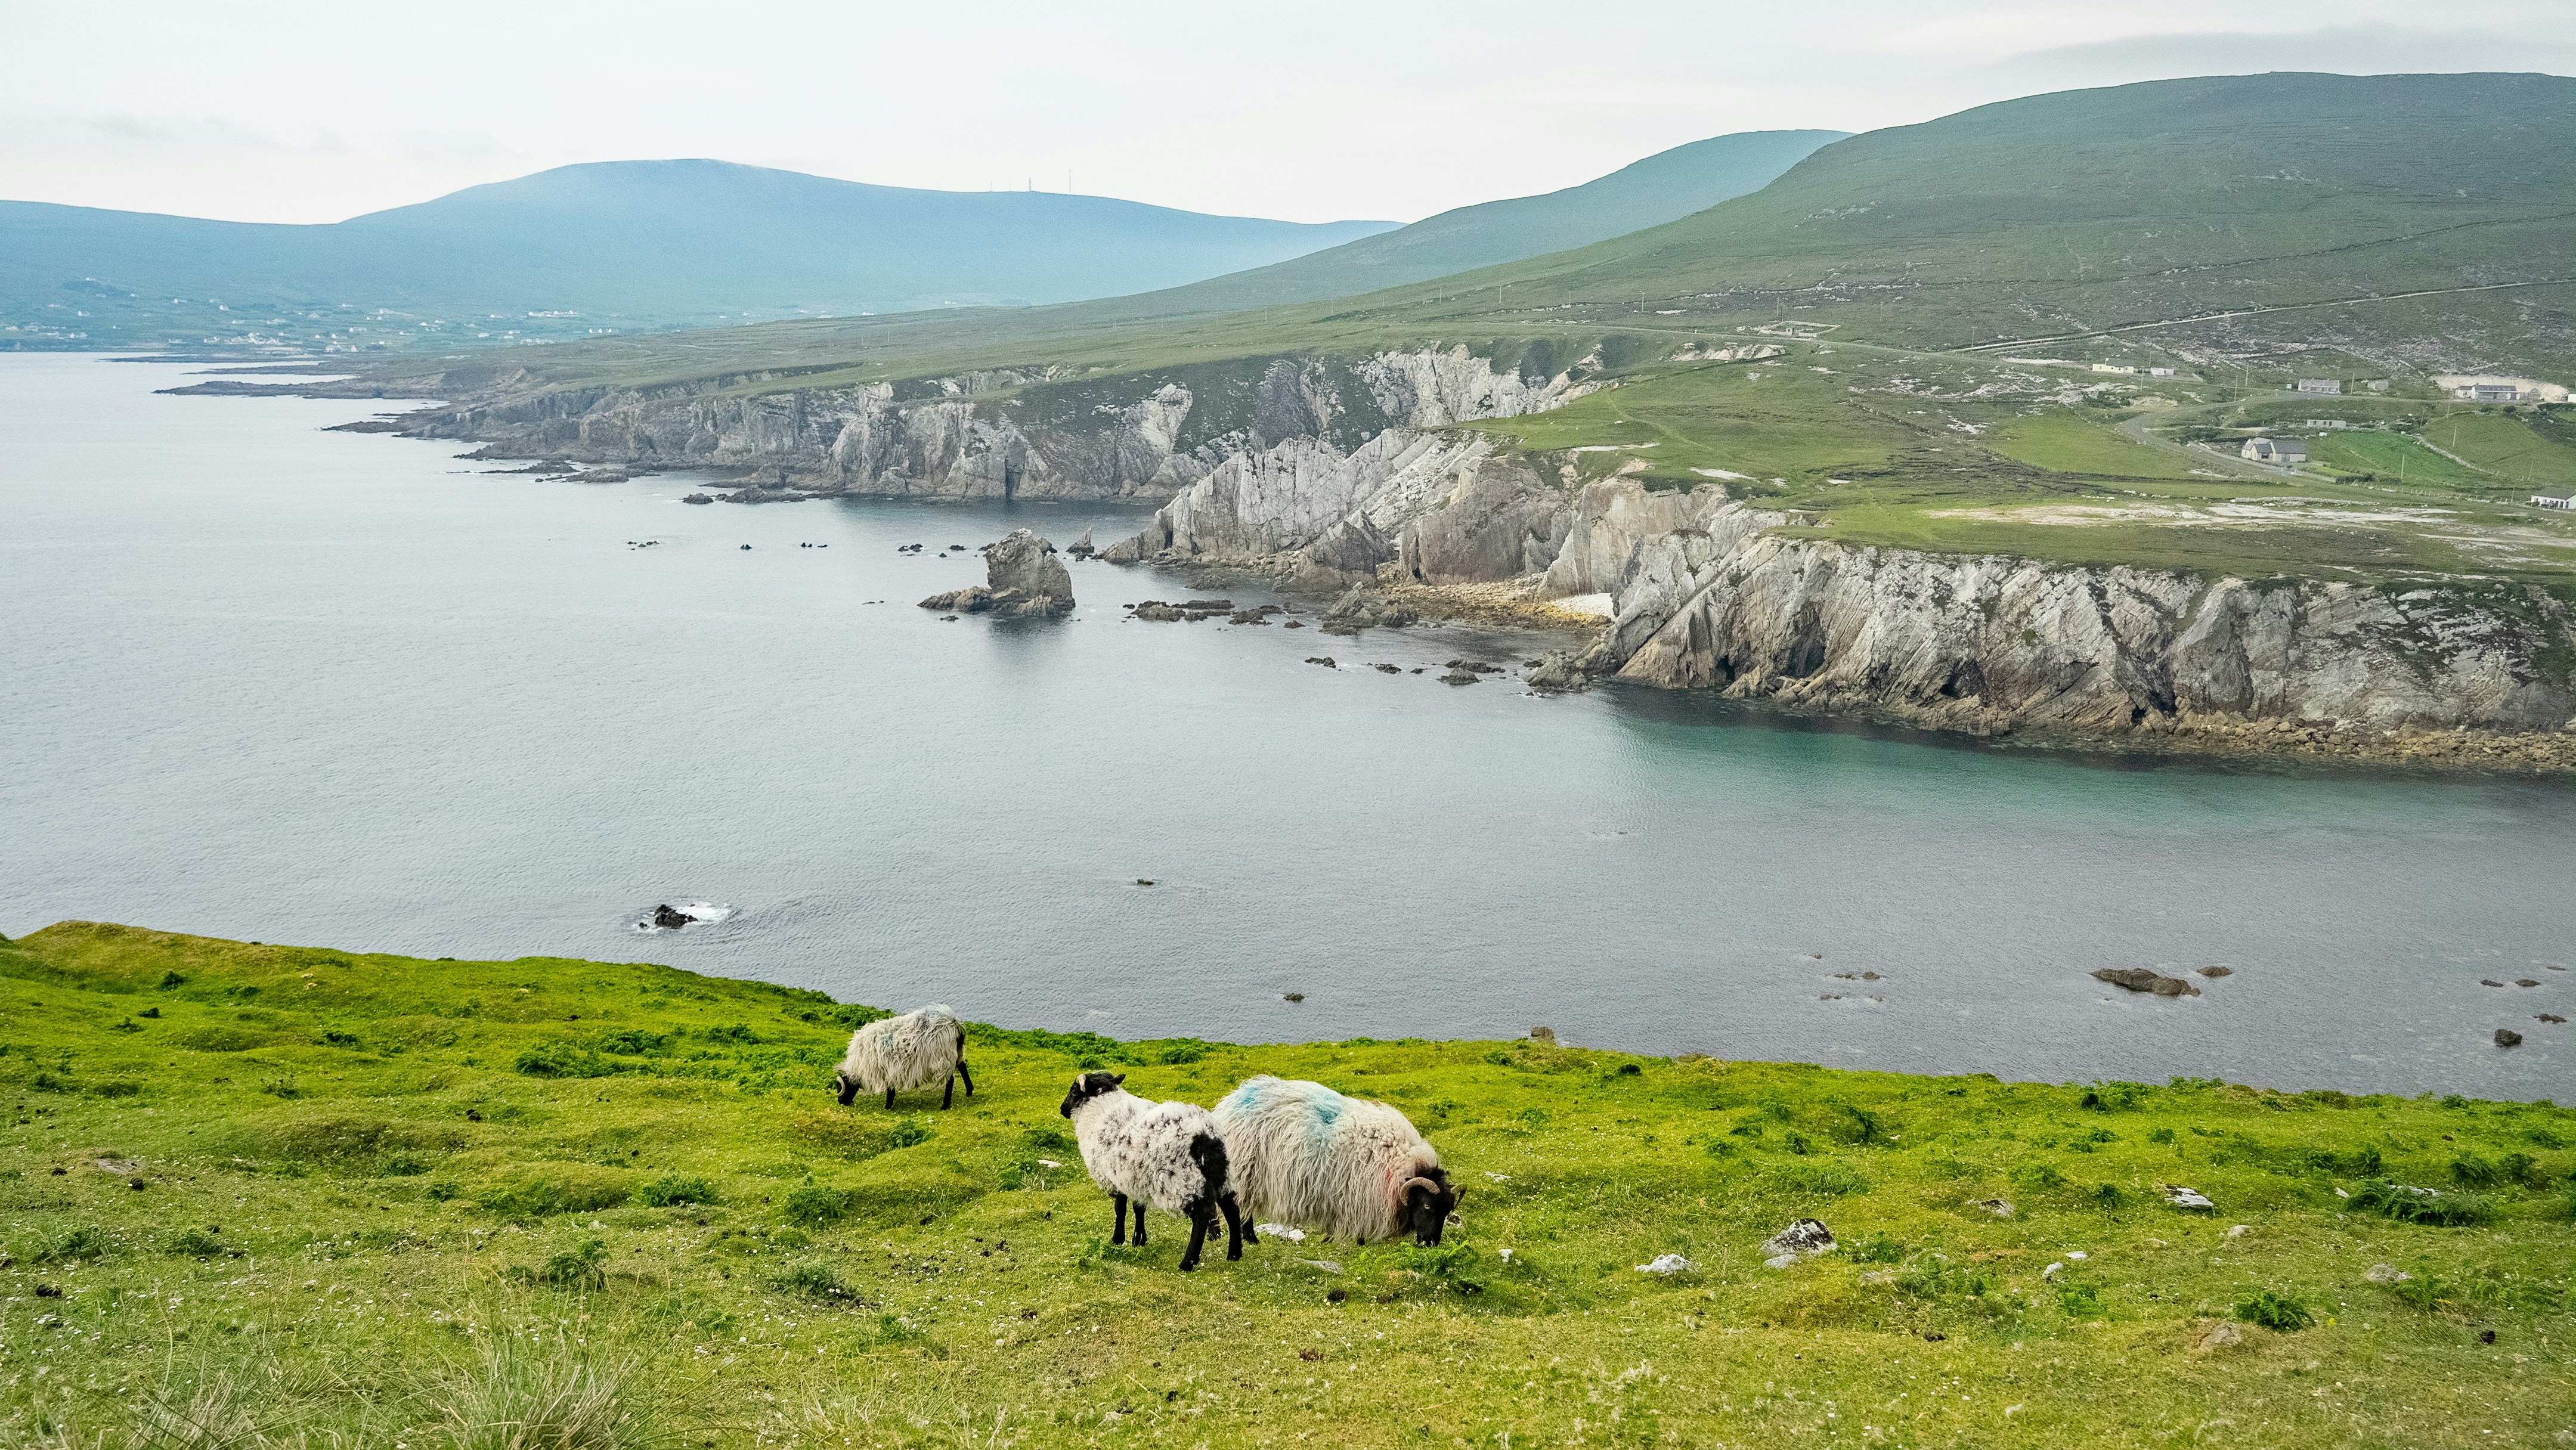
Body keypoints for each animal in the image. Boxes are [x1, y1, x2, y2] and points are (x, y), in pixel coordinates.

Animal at [832, 1005, 973, 1109]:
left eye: (840, 1087)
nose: (841, 1102)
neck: (858, 1065)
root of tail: (953, 1023)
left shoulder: (887, 1068)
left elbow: (890, 1087)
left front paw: (888, 1105)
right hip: (957, 1051)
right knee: (962, 1066)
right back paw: (969, 1091)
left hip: (942, 1057)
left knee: (950, 1080)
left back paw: (945, 1105)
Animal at [1058, 1071, 1244, 1271]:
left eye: (1074, 1092)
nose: (1062, 1109)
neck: (1101, 1108)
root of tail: (1203, 1135)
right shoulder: (1134, 1177)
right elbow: (1138, 1208)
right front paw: (1139, 1239)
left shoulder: (1115, 1179)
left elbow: (1120, 1210)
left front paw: (1118, 1239)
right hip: (1221, 1175)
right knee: (1232, 1209)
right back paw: (1234, 1254)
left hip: (1183, 1180)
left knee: (1202, 1216)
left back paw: (1188, 1262)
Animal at [1211, 1075, 1462, 1246]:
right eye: (1427, 1205)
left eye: (1447, 1211)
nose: (1431, 1243)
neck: (1399, 1164)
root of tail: (1228, 1103)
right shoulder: (1359, 1196)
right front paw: (1358, 1241)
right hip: (1243, 1171)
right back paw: (1246, 1238)